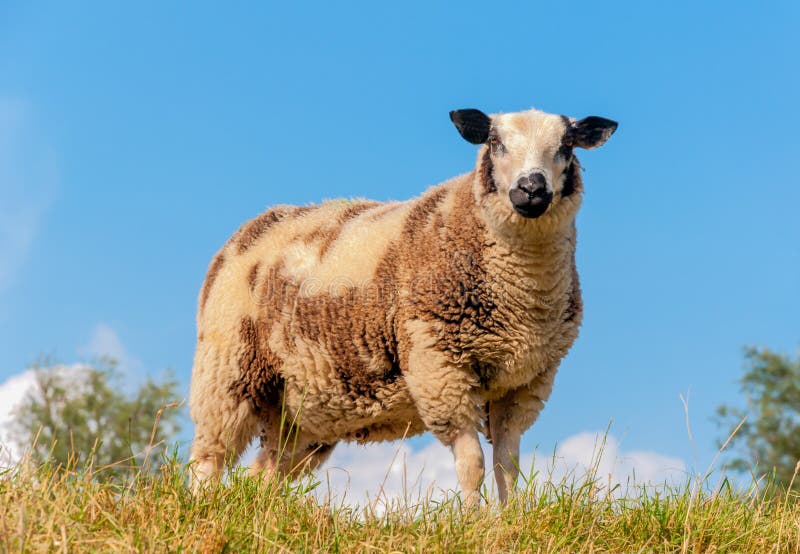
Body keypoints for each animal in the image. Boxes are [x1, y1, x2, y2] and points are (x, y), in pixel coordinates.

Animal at [188, 106, 617, 505]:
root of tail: (249, 230)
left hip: (303, 411)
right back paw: (202, 507)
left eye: (567, 145)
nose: (531, 189)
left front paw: (509, 519)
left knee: (263, 475)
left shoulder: (524, 382)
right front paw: (475, 521)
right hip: (228, 369)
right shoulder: (439, 366)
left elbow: (507, 467)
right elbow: (473, 465)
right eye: (495, 142)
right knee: (207, 459)